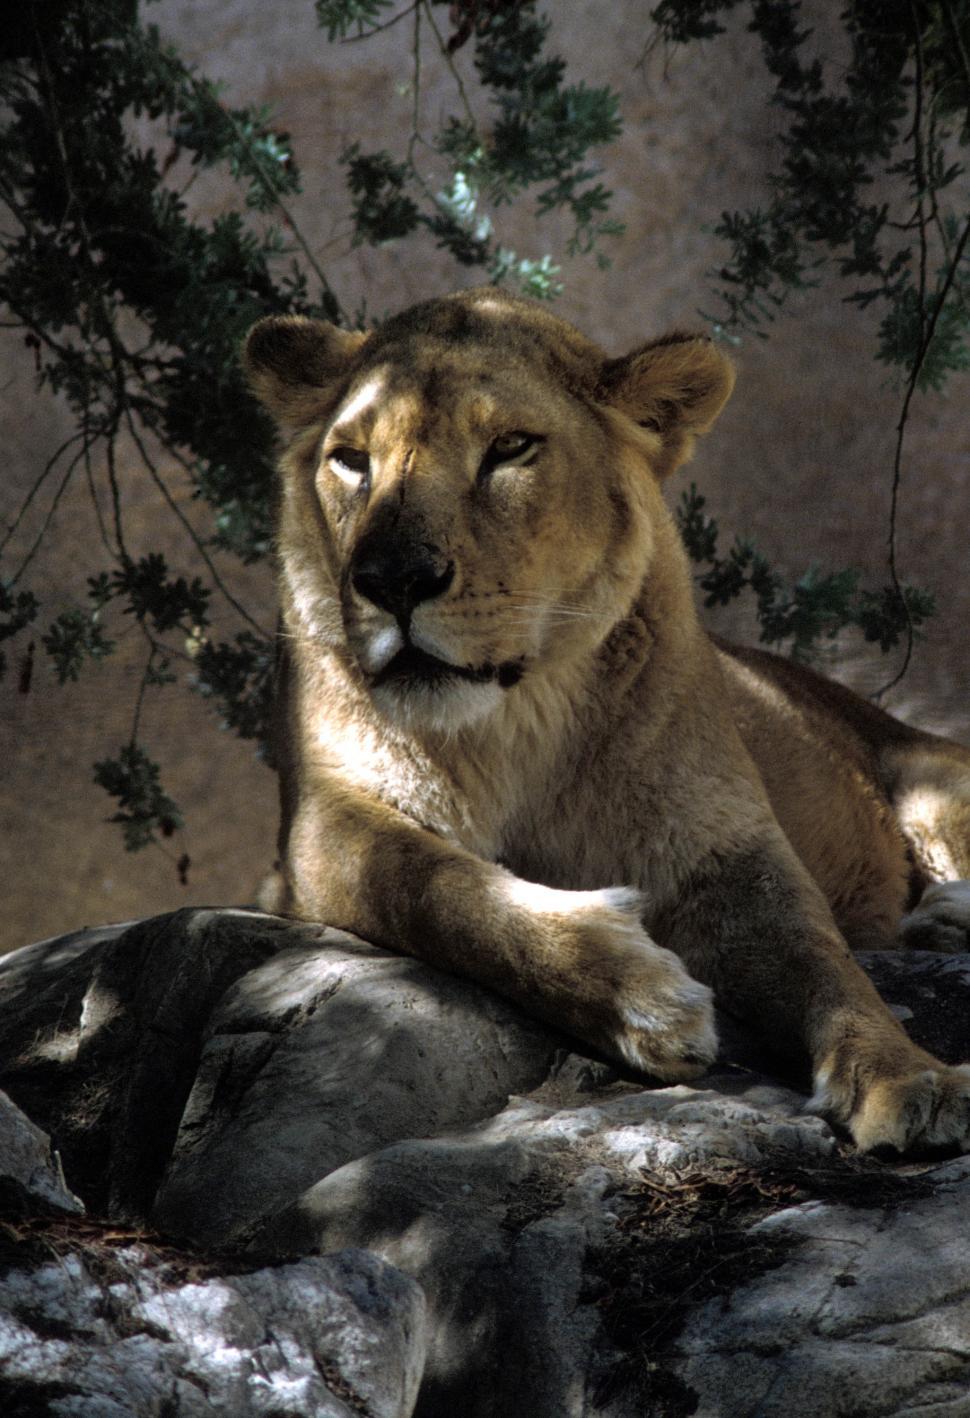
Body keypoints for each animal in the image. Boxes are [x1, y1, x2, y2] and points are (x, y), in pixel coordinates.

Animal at [244, 287, 970, 1154]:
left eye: (511, 448)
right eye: (351, 459)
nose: (394, 579)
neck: (519, 722)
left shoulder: (730, 847)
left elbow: (826, 961)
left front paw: (907, 1075)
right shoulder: (316, 826)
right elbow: (442, 891)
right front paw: (643, 997)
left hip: (936, 789)